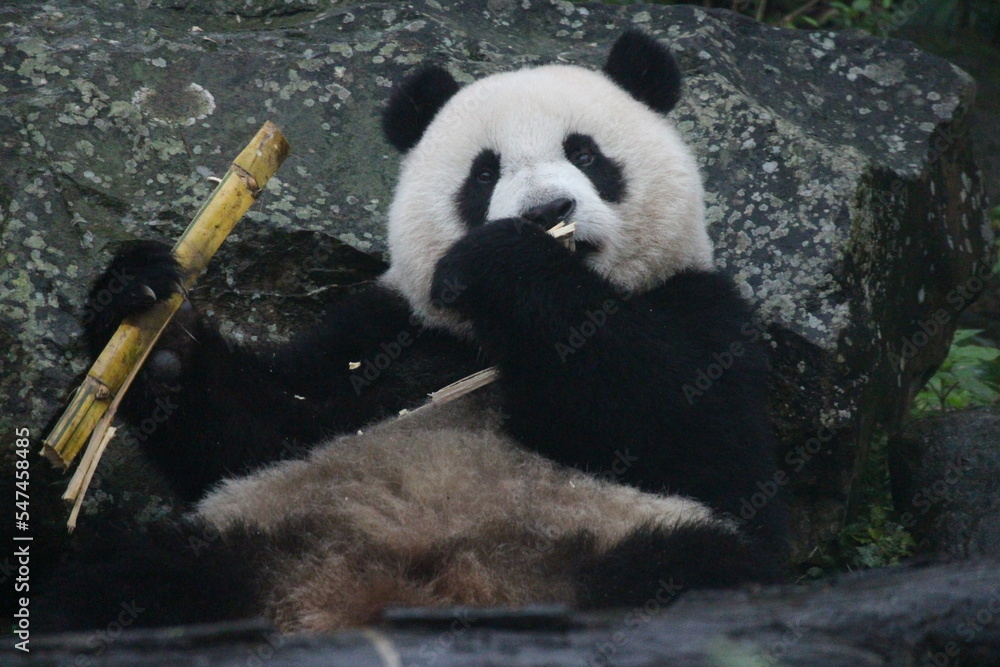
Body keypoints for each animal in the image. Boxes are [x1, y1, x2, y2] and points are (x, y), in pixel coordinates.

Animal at [42, 30, 789, 633]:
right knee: (113, 586)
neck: (486, 335)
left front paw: (510, 260)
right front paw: (145, 315)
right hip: (257, 536)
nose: (548, 210)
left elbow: (697, 435)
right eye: (483, 172)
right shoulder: (380, 333)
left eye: (587, 153)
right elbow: (259, 431)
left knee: (699, 574)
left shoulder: (707, 312)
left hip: (611, 535)